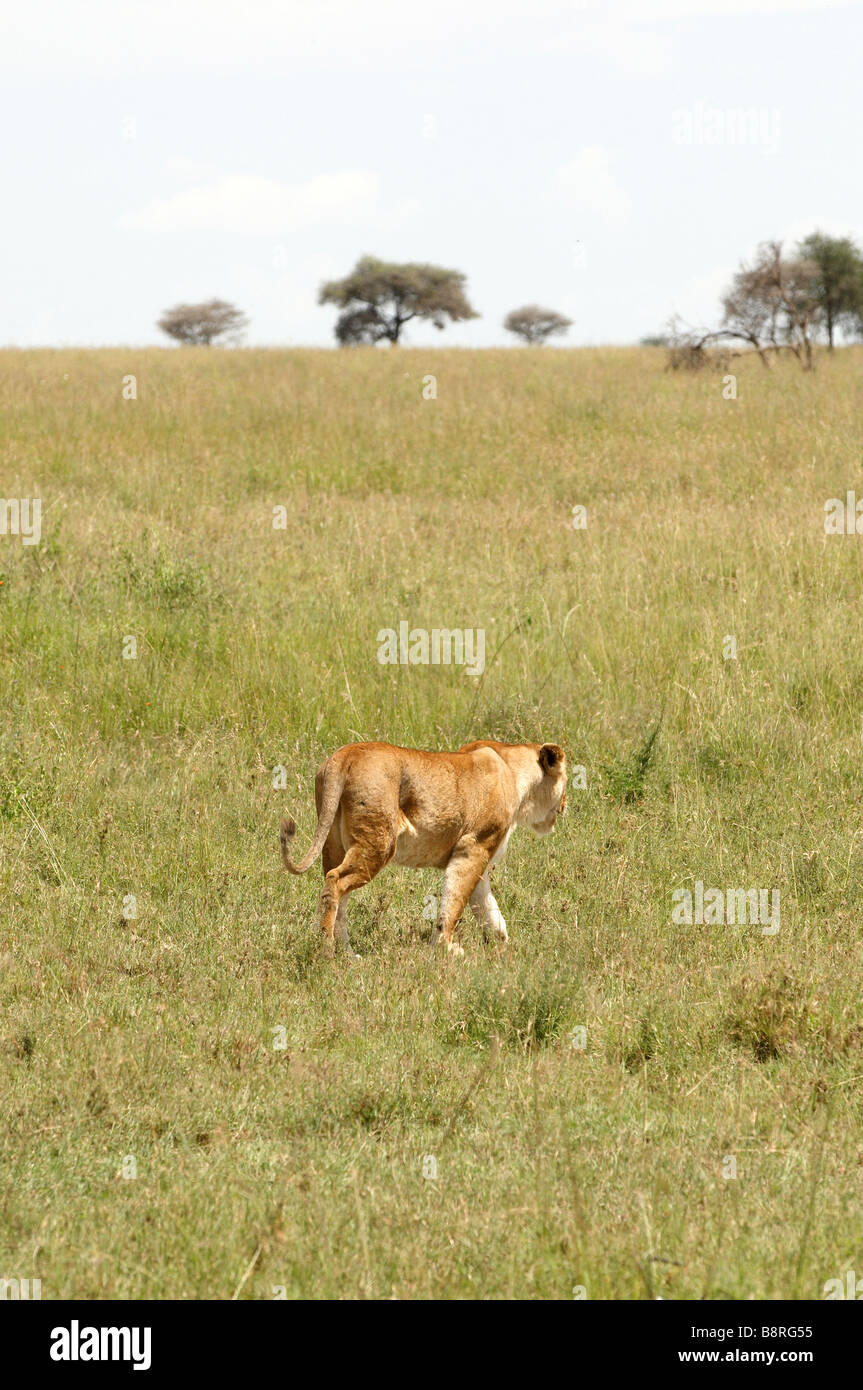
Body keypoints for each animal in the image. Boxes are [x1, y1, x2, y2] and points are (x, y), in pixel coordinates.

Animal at [279, 739, 567, 958]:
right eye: (565, 781)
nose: (565, 806)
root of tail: (346, 753)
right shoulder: (473, 848)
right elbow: (454, 903)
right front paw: (447, 949)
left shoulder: (479, 858)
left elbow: (488, 909)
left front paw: (503, 949)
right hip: (378, 844)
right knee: (335, 882)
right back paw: (327, 950)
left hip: (335, 844)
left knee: (337, 890)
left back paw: (348, 954)